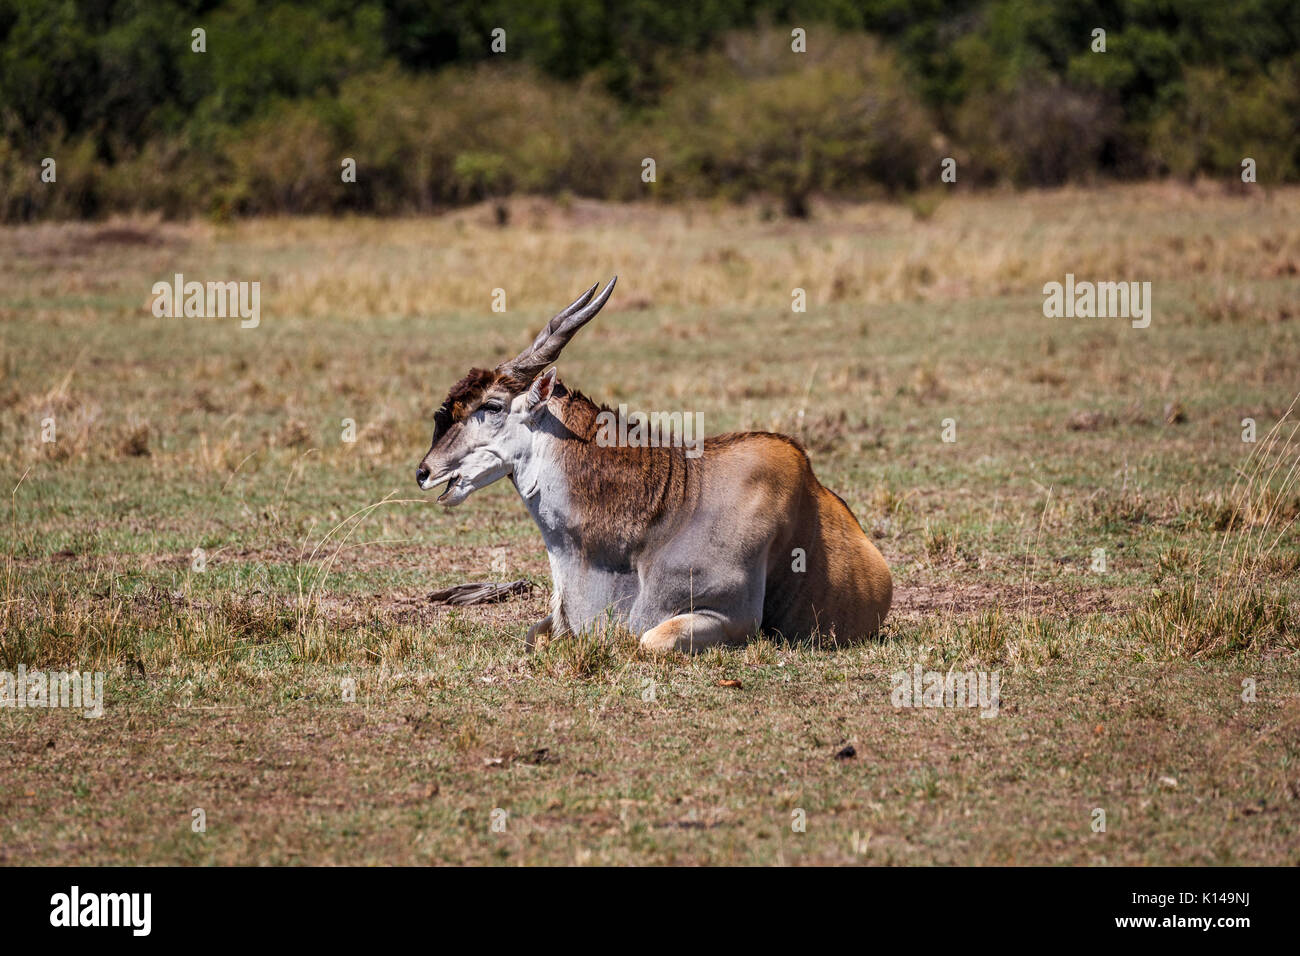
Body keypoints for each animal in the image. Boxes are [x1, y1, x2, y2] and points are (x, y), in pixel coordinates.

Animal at [416, 278, 892, 653]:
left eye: (492, 405)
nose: (424, 472)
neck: (664, 514)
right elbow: (536, 634)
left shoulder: (730, 619)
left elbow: (648, 639)